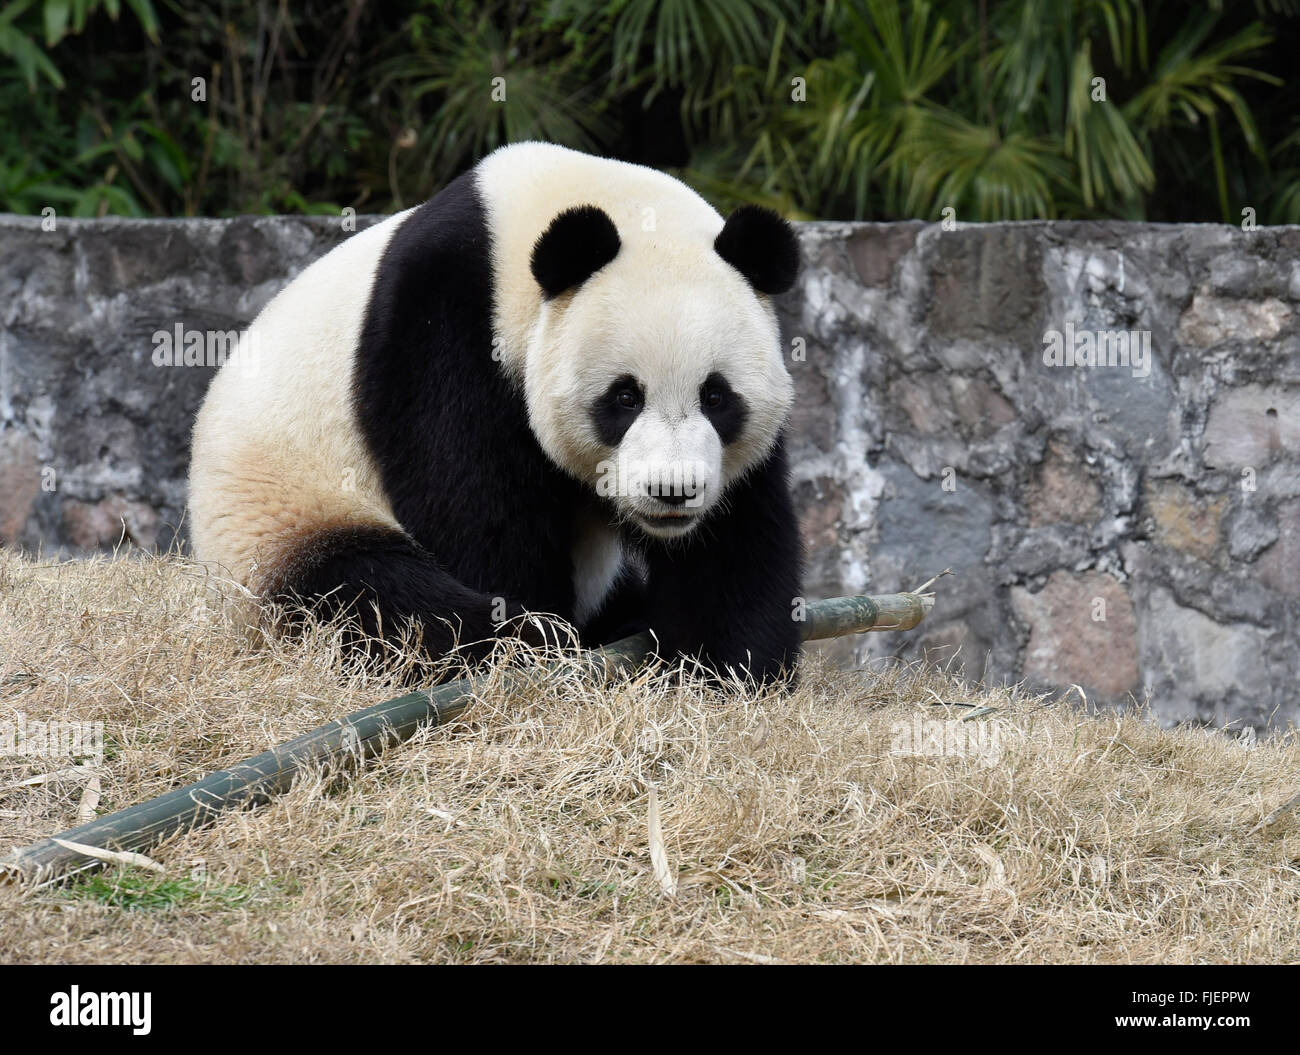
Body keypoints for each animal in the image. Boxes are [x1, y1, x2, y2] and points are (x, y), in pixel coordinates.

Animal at [189, 142, 803, 684]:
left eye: (716, 397)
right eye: (624, 398)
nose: (672, 491)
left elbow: (737, 536)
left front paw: (719, 669)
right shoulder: (441, 323)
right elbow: (473, 503)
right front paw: (538, 640)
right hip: (278, 521)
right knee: (373, 597)